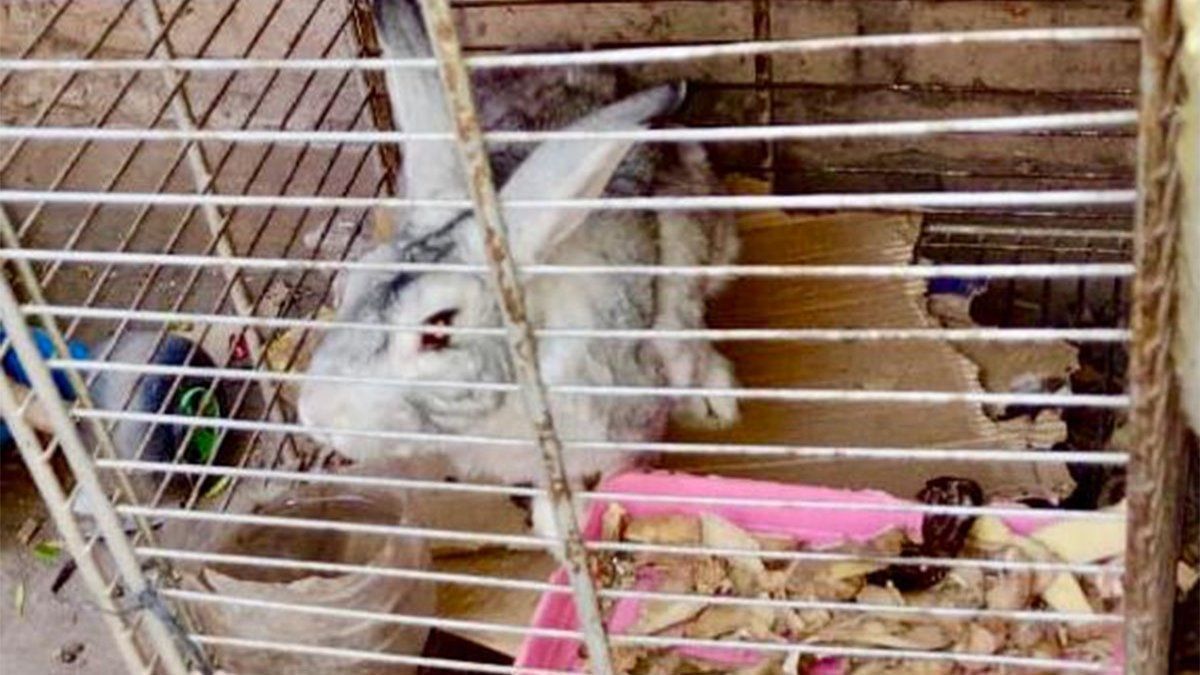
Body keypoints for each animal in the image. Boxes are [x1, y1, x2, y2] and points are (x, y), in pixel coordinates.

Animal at [298, 0, 739, 540]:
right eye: (351, 282)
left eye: (438, 328)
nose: (313, 417)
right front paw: (555, 523)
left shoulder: (626, 422)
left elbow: (618, 470)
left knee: (695, 343)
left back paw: (715, 402)